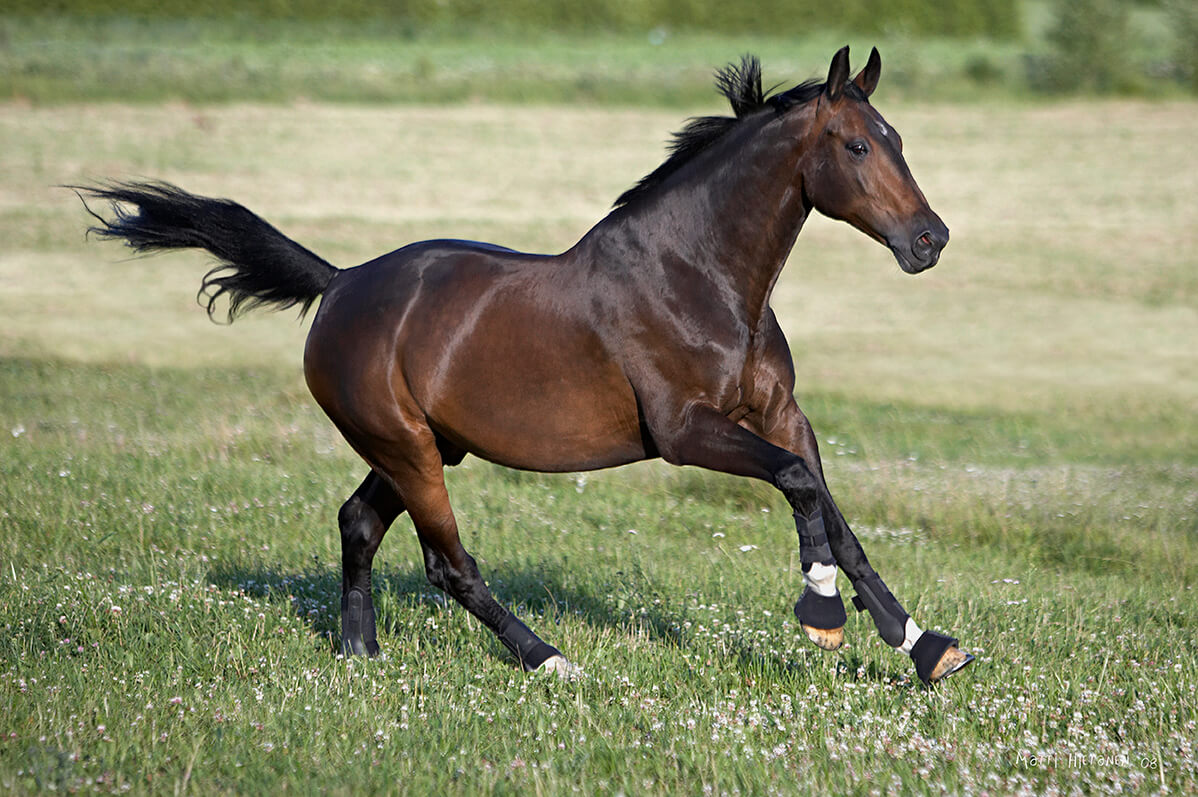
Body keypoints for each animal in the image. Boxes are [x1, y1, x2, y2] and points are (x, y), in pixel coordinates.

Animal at [78, 47, 972, 685]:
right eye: (855, 144)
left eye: (897, 139)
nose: (930, 239)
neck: (699, 275)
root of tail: (338, 283)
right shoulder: (685, 432)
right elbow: (795, 484)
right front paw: (820, 611)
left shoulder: (782, 412)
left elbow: (830, 507)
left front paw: (923, 644)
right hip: (407, 447)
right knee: (448, 563)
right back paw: (549, 658)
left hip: (420, 446)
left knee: (358, 521)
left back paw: (360, 655)